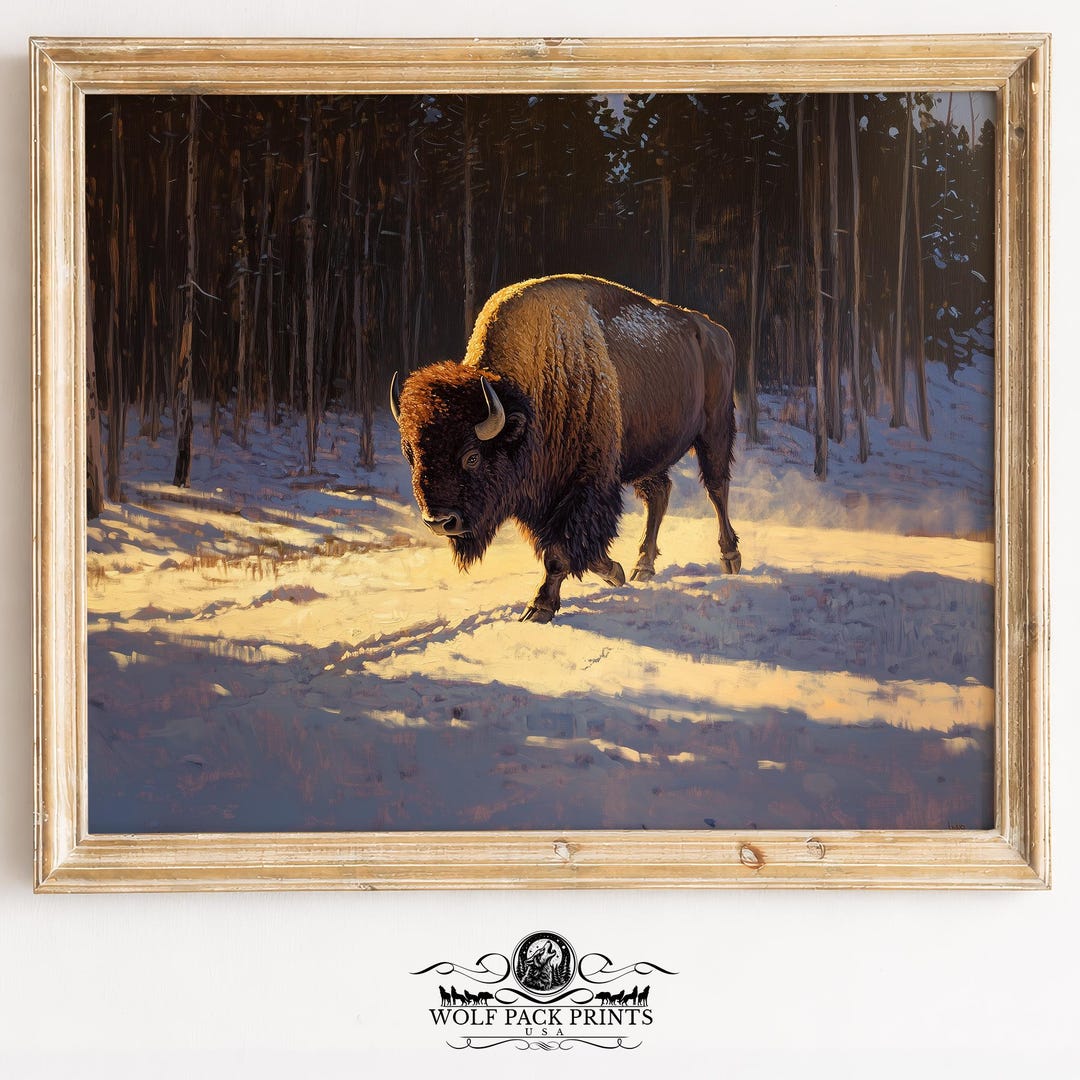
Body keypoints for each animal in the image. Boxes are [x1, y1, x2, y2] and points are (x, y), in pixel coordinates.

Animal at [390, 274, 741, 622]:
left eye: (472, 457)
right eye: (411, 455)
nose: (439, 522)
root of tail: (717, 331)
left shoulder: (583, 485)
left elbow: (559, 550)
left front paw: (539, 607)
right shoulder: (543, 493)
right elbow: (567, 545)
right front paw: (614, 572)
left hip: (715, 429)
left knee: (716, 488)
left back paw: (730, 558)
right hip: (647, 453)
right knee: (659, 495)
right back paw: (642, 566)